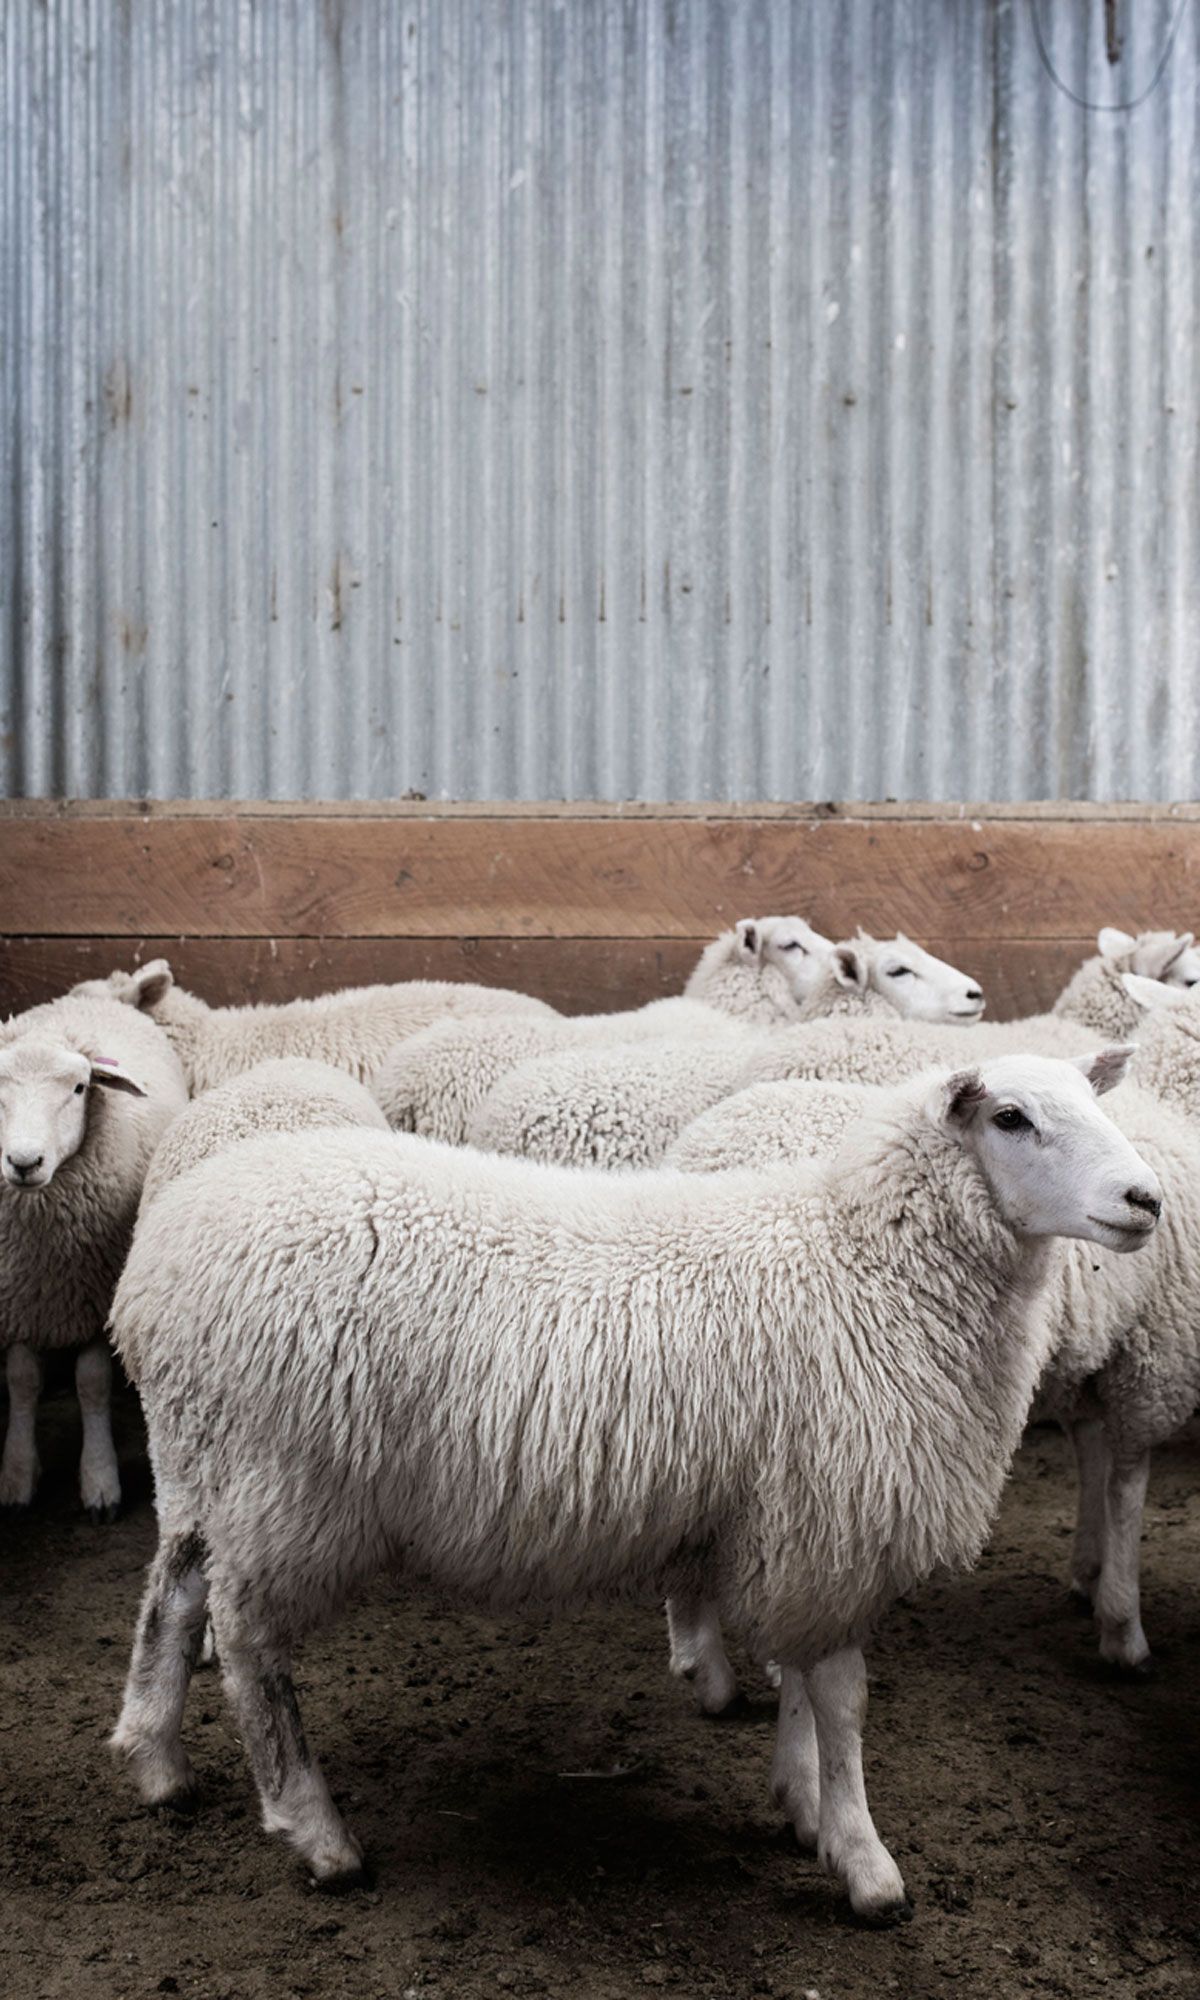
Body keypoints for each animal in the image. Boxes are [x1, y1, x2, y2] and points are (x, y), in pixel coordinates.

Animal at [0, 994, 188, 1518]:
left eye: (80, 1087)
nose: (24, 1162)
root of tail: (88, 999)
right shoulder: (19, 1300)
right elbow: (22, 1380)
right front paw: (18, 1474)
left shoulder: (95, 1294)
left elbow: (91, 1383)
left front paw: (100, 1481)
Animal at [108, 1049, 1159, 1919]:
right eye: (1012, 1117)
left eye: (1091, 1097)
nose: (1146, 1198)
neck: (865, 1263)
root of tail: (157, 1269)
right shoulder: (834, 1513)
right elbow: (842, 1697)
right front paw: (864, 1862)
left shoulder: (793, 1514)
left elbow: (800, 1678)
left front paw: (801, 1805)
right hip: (281, 1481)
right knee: (248, 1643)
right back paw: (317, 1834)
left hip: (203, 1461)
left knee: (173, 1594)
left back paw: (155, 1759)